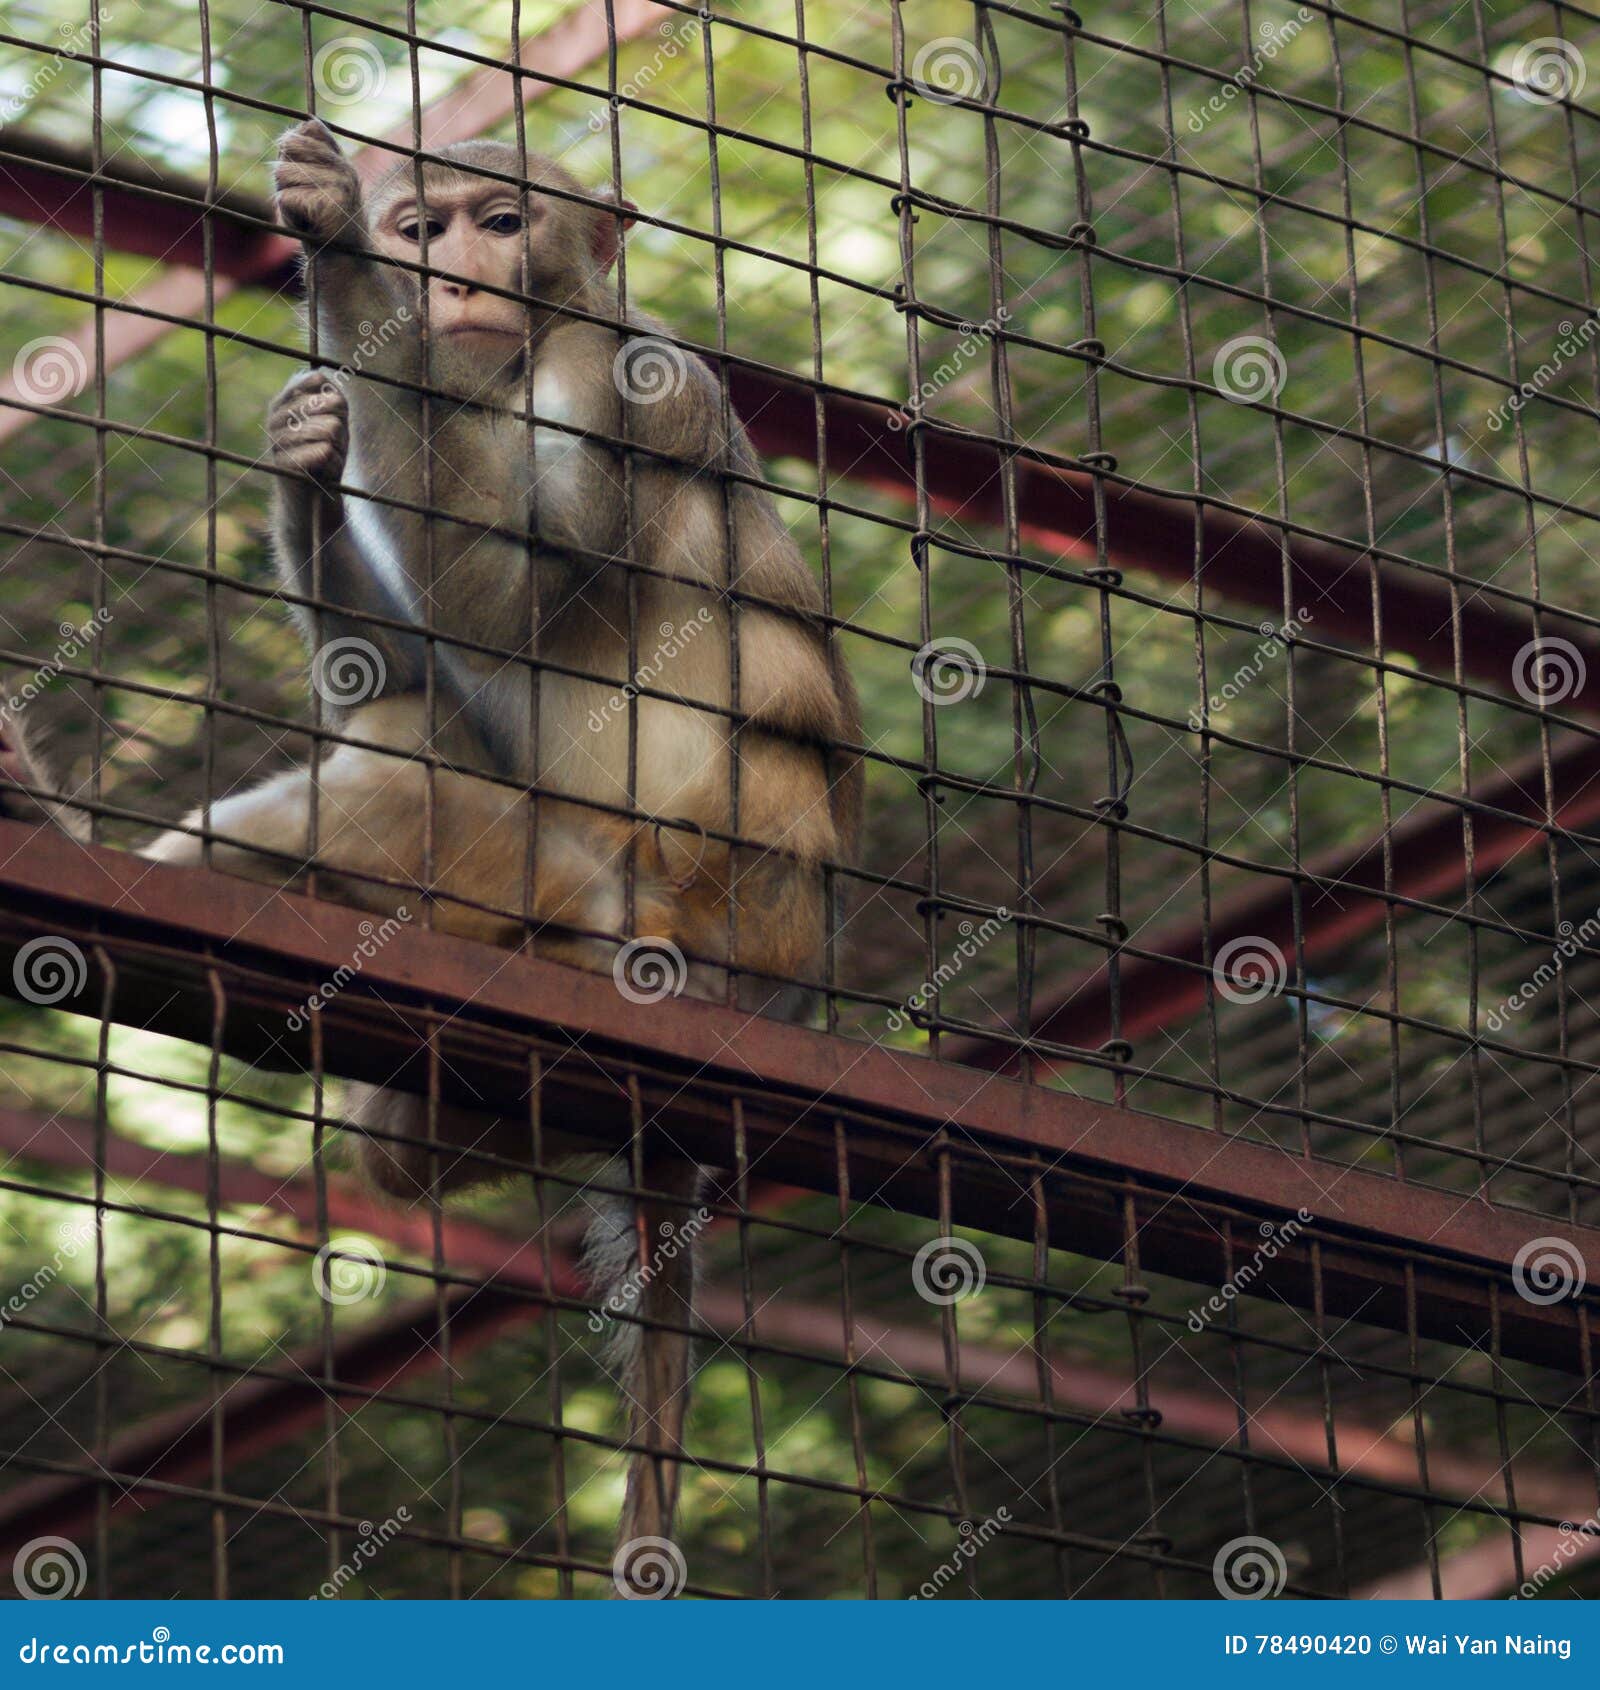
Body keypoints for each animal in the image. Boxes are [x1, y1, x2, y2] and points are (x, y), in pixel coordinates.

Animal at [0, 118, 861, 1583]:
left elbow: (515, 604)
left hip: (597, 921)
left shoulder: (619, 381)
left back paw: (84, 852)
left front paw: (336, 248)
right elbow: (398, 659)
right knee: (402, 1134)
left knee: (405, 768)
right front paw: (305, 450)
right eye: (434, 224)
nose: (446, 271)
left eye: (501, 221)